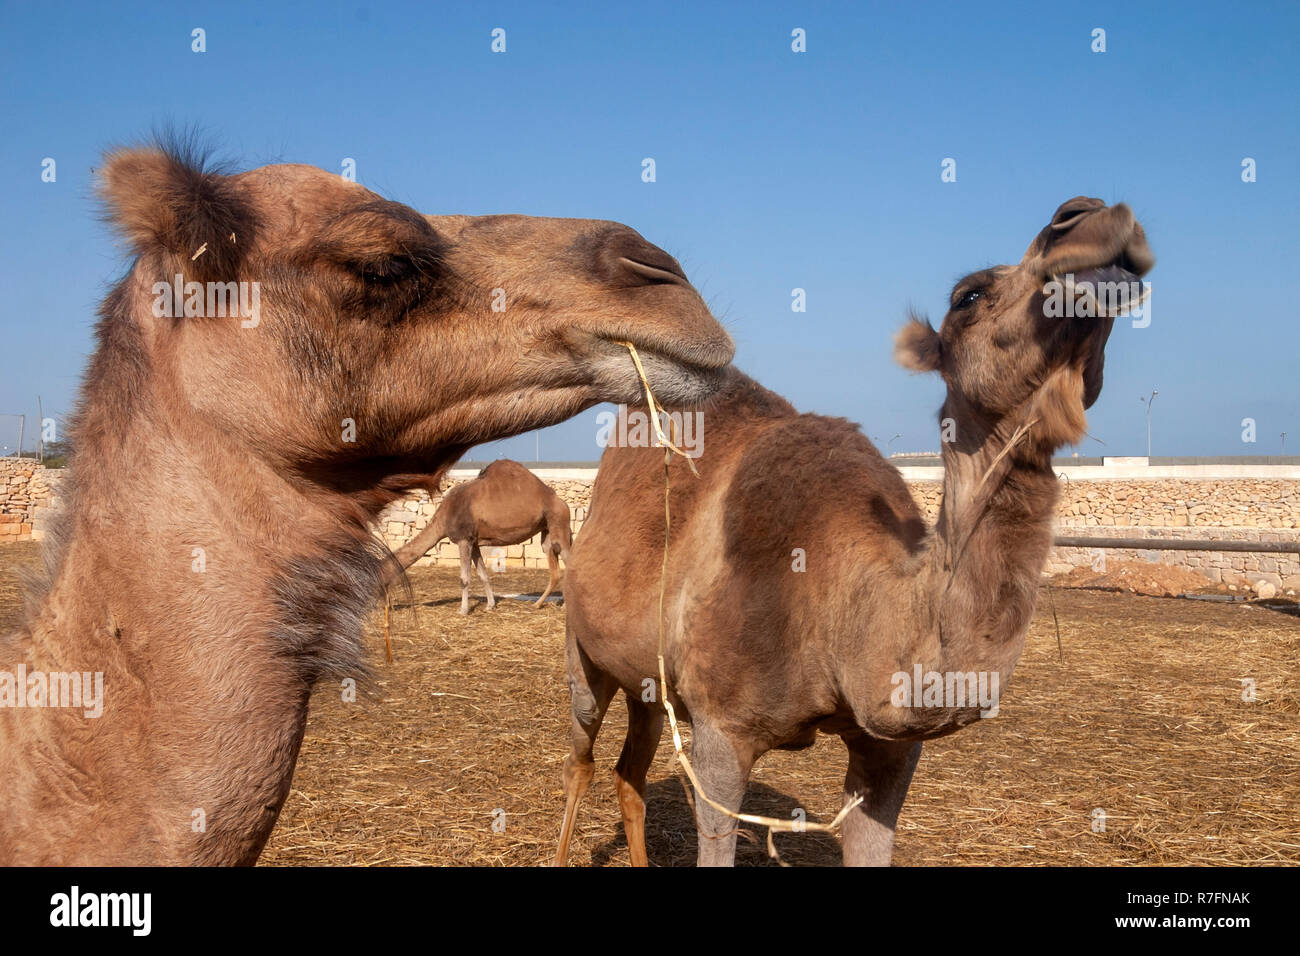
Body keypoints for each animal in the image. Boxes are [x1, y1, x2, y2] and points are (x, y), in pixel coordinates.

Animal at [384, 459, 572, 612]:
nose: (389, 605)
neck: (444, 517)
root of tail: (562, 502)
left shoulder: (463, 539)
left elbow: (464, 578)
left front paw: (463, 610)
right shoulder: (474, 542)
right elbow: (483, 574)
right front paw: (490, 605)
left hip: (559, 522)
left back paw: (563, 606)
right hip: (547, 529)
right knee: (553, 565)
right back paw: (538, 604)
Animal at [554, 197, 1153, 867]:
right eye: (967, 296)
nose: (1085, 215)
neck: (842, 608)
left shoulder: (890, 747)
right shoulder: (720, 730)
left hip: (647, 681)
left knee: (630, 770)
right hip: (582, 648)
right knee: (581, 754)